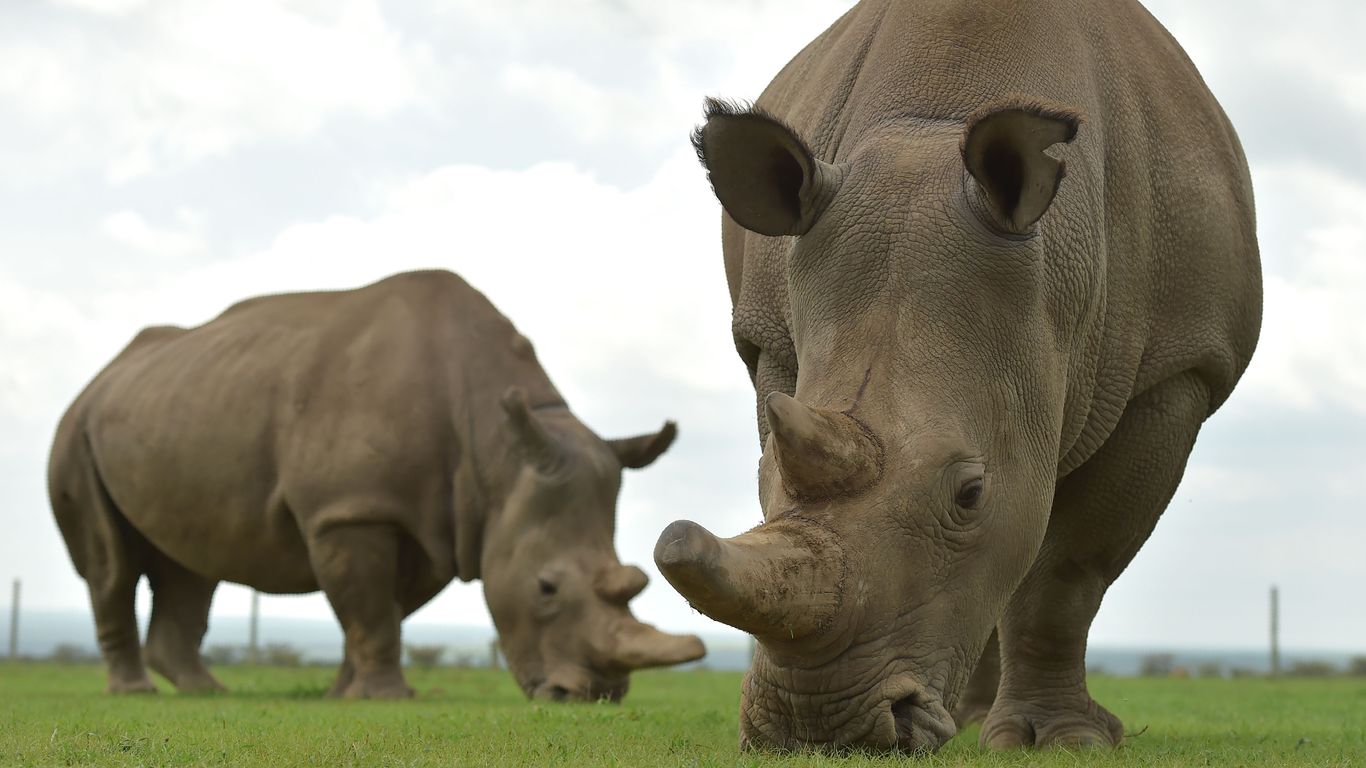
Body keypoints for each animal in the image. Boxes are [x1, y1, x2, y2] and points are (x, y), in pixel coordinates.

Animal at [49, 270, 705, 701]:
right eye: (545, 588)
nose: (596, 696)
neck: (496, 452)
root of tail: (102, 376)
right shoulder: (352, 510)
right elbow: (368, 607)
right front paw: (386, 698)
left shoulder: (440, 521)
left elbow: (379, 608)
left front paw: (347, 695)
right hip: (76, 430)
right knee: (111, 567)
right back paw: (135, 693)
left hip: (174, 405)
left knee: (190, 565)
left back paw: (205, 692)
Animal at [655, 0, 1261, 753]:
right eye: (761, 480)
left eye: (970, 494)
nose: (818, 726)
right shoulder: (771, 341)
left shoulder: (1180, 368)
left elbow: (1067, 570)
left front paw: (1066, 741)